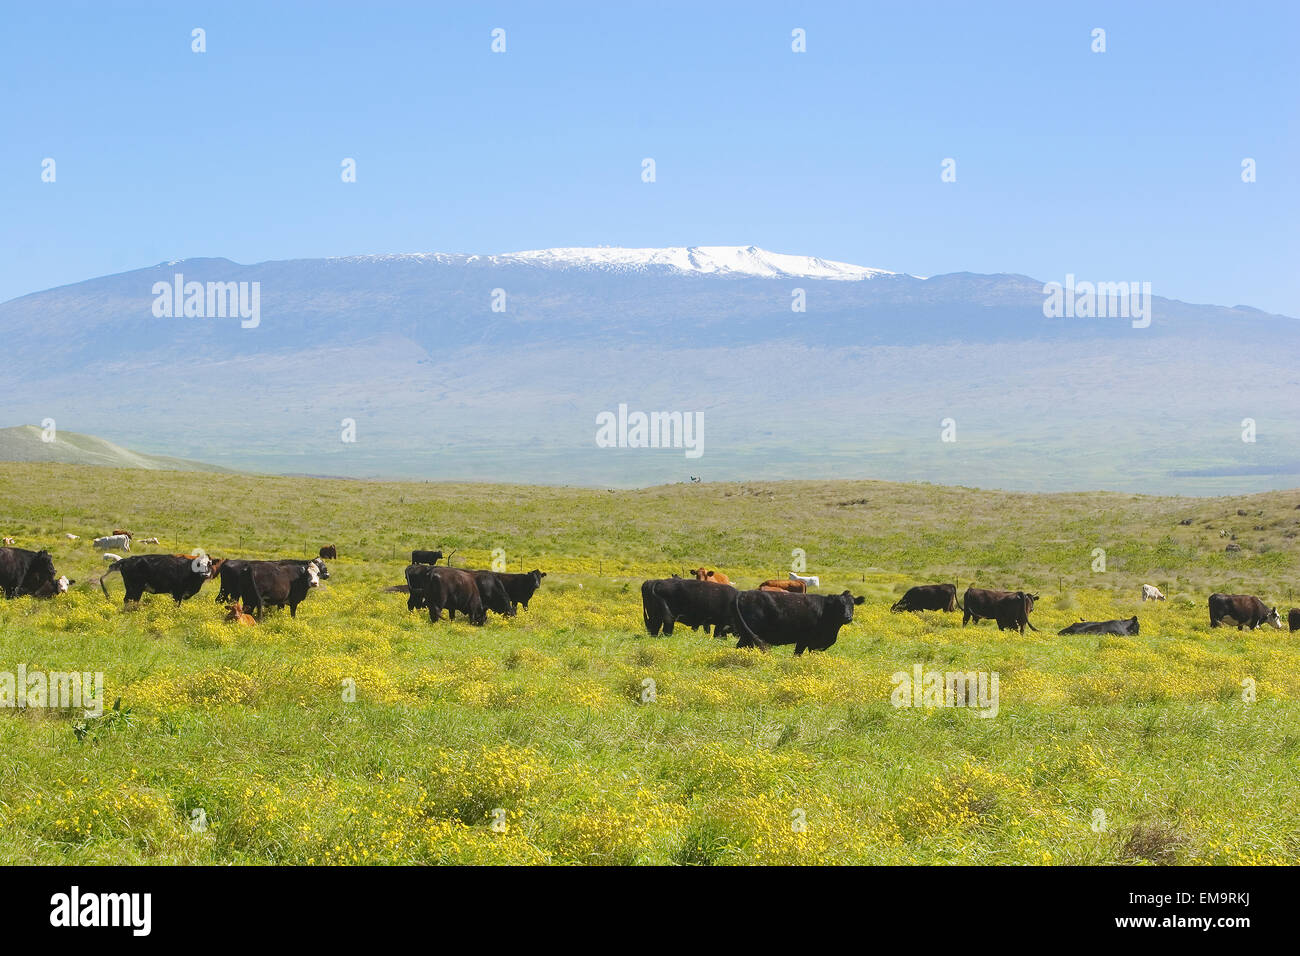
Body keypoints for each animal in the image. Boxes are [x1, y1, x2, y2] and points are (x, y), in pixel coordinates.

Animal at [730, 589, 864, 655]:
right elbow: (797, 654)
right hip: (749, 633)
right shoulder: (803, 640)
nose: (848, 617)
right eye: (839, 605)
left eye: (852, 604)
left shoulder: (814, 645)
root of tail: (743, 593)